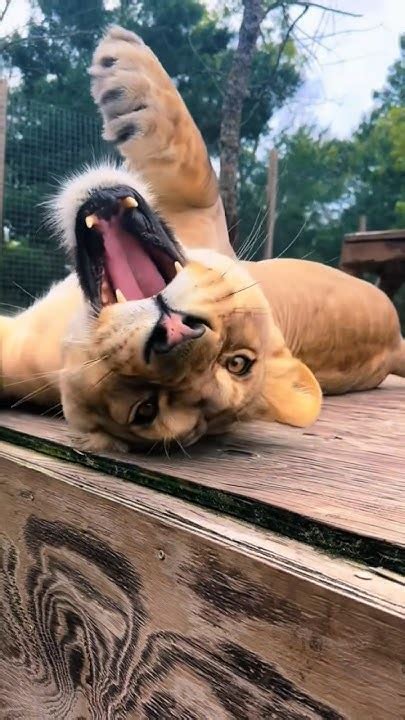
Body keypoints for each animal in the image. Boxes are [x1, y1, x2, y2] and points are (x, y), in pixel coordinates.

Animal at [0, 26, 404, 453]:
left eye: (145, 410)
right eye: (239, 362)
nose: (176, 331)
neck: (63, 328)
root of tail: (396, 345)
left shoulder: (202, 215)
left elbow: (188, 165)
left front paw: (125, 62)